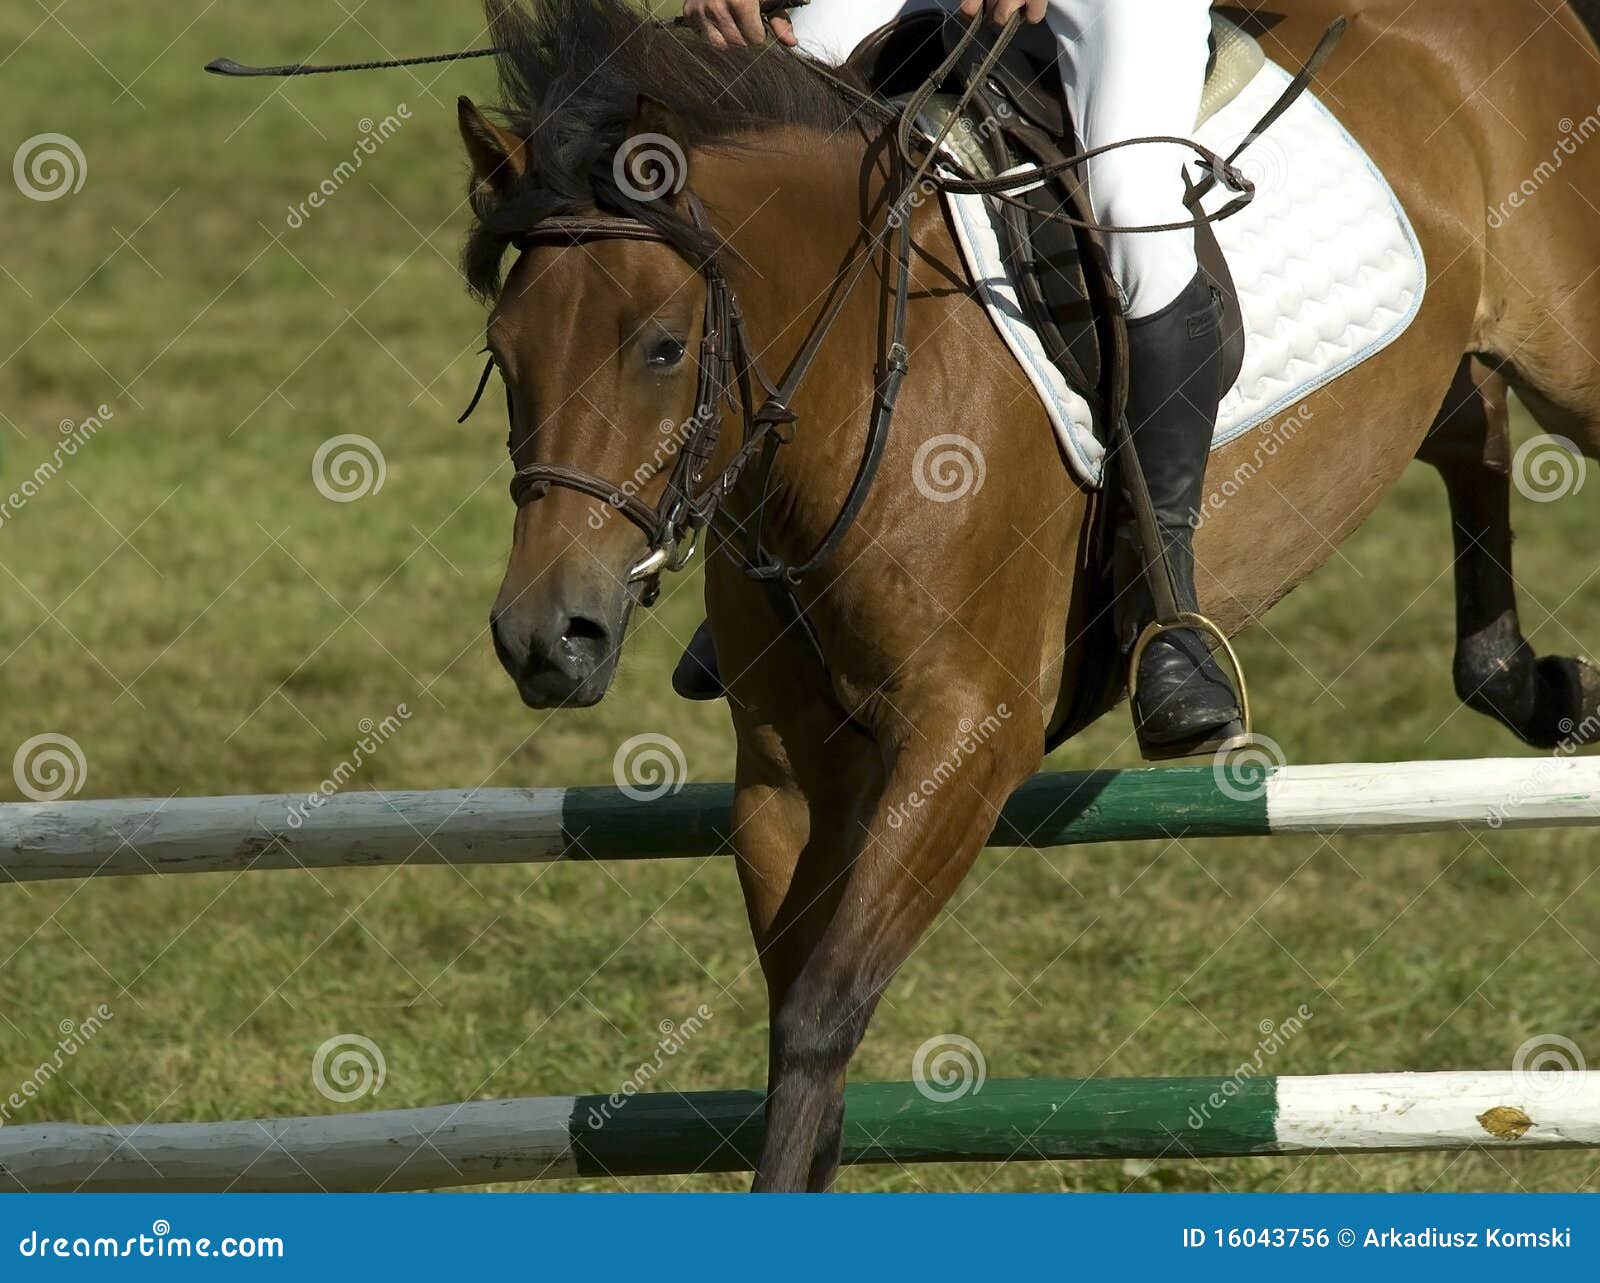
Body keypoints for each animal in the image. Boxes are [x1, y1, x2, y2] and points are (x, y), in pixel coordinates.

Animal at [465, 0, 1600, 1189]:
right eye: (504, 352)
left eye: (663, 346)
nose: (545, 636)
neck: (858, 393)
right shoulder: (787, 766)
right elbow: (799, 1027)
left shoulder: (967, 741)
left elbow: (821, 1014)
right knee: (1471, 425)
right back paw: (1526, 680)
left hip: (1573, 354)